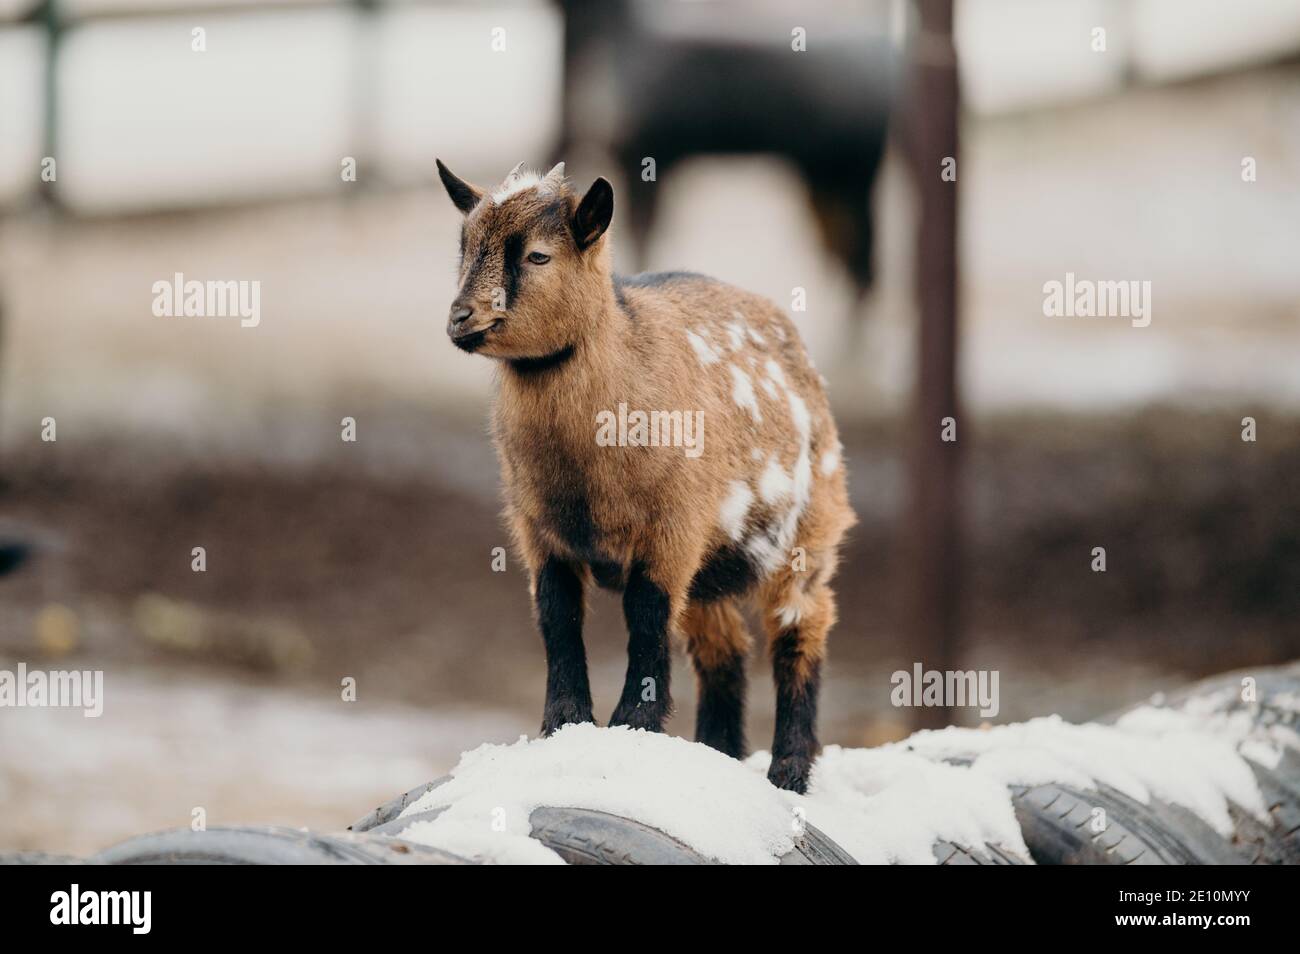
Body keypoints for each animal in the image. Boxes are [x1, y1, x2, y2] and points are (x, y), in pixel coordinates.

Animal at [436, 159, 855, 793]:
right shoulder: (539, 532)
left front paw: (632, 724)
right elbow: (557, 617)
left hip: (808, 533)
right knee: (724, 650)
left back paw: (788, 770)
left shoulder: (671, 531)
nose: (460, 318)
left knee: (799, 632)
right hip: (713, 570)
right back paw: (716, 752)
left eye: (537, 256)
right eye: (462, 247)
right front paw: (563, 724)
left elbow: (647, 616)